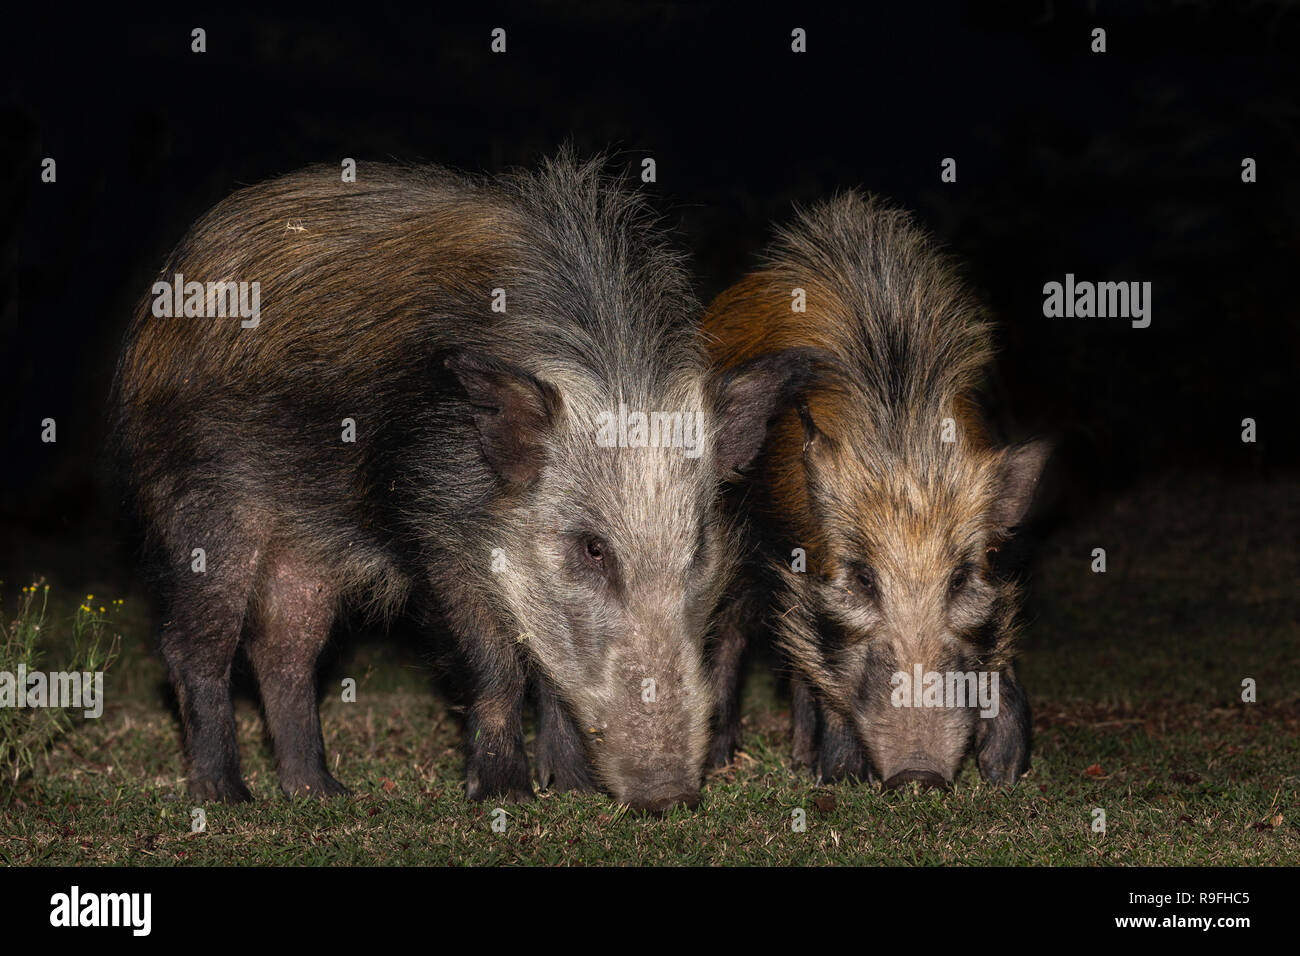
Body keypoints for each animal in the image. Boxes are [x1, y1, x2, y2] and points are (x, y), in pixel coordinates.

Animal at [111, 154, 817, 811]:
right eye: (592, 548)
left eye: (697, 548)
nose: (668, 796)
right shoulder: (439, 522)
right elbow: (495, 667)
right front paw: (503, 794)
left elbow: (547, 670)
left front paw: (570, 789)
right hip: (204, 501)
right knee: (195, 644)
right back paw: (225, 796)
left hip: (306, 547)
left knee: (285, 650)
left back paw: (323, 793)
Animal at [702, 193, 1049, 790]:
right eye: (863, 579)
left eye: (960, 578)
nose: (920, 774)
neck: (903, 458)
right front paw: (840, 775)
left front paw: (1003, 771)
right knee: (733, 633)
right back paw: (733, 760)